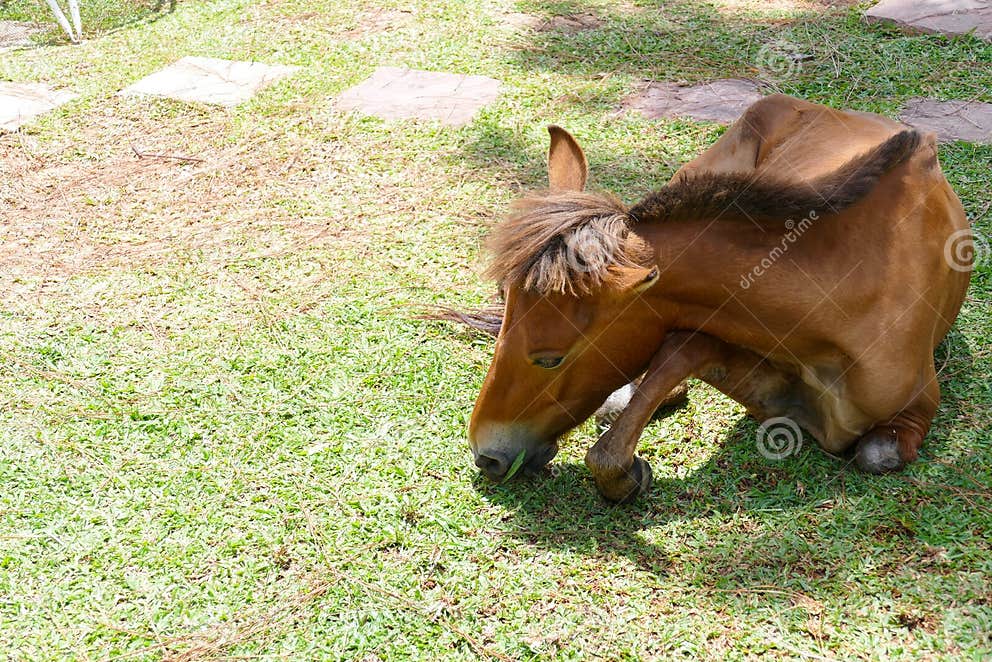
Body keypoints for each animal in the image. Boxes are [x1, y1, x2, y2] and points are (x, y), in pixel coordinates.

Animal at [439, 94, 972, 503]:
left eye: (549, 358)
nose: (487, 455)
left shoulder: (913, 408)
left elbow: (876, 453)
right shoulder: (710, 337)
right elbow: (672, 360)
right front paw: (625, 464)